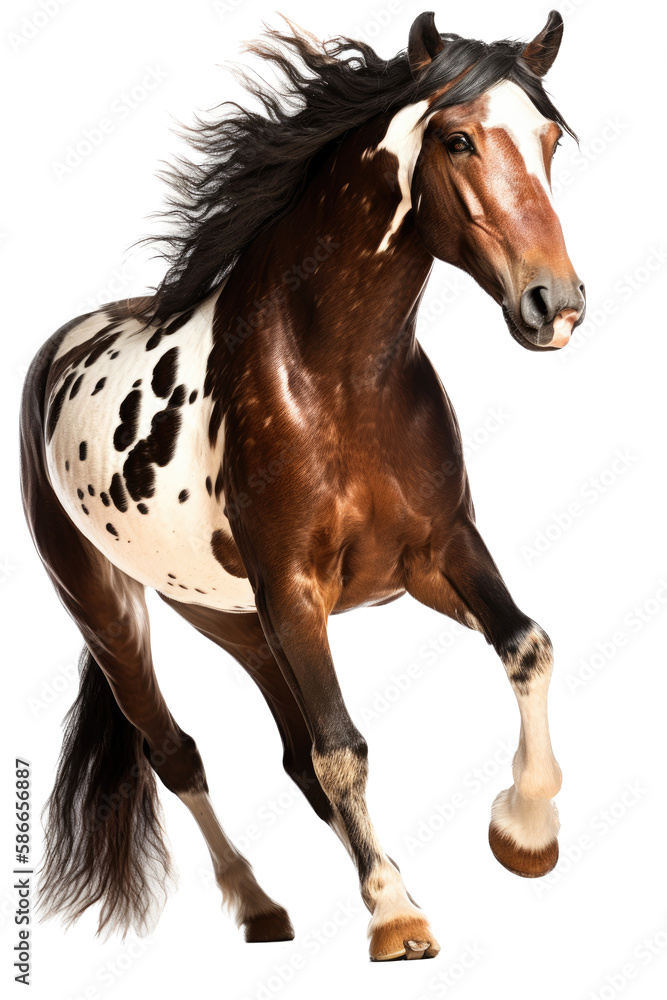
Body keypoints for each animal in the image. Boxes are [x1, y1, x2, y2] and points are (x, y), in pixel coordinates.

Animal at [20, 10, 585, 962]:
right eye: (458, 139)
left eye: (548, 140)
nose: (556, 304)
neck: (335, 377)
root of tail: (56, 350)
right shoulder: (295, 587)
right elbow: (342, 748)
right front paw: (395, 919)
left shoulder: (437, 553)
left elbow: (526, 645)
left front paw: (525, 833)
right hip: (115, 613)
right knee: (179, 753)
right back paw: (263, 907)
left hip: (239, 624)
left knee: (290, 756)